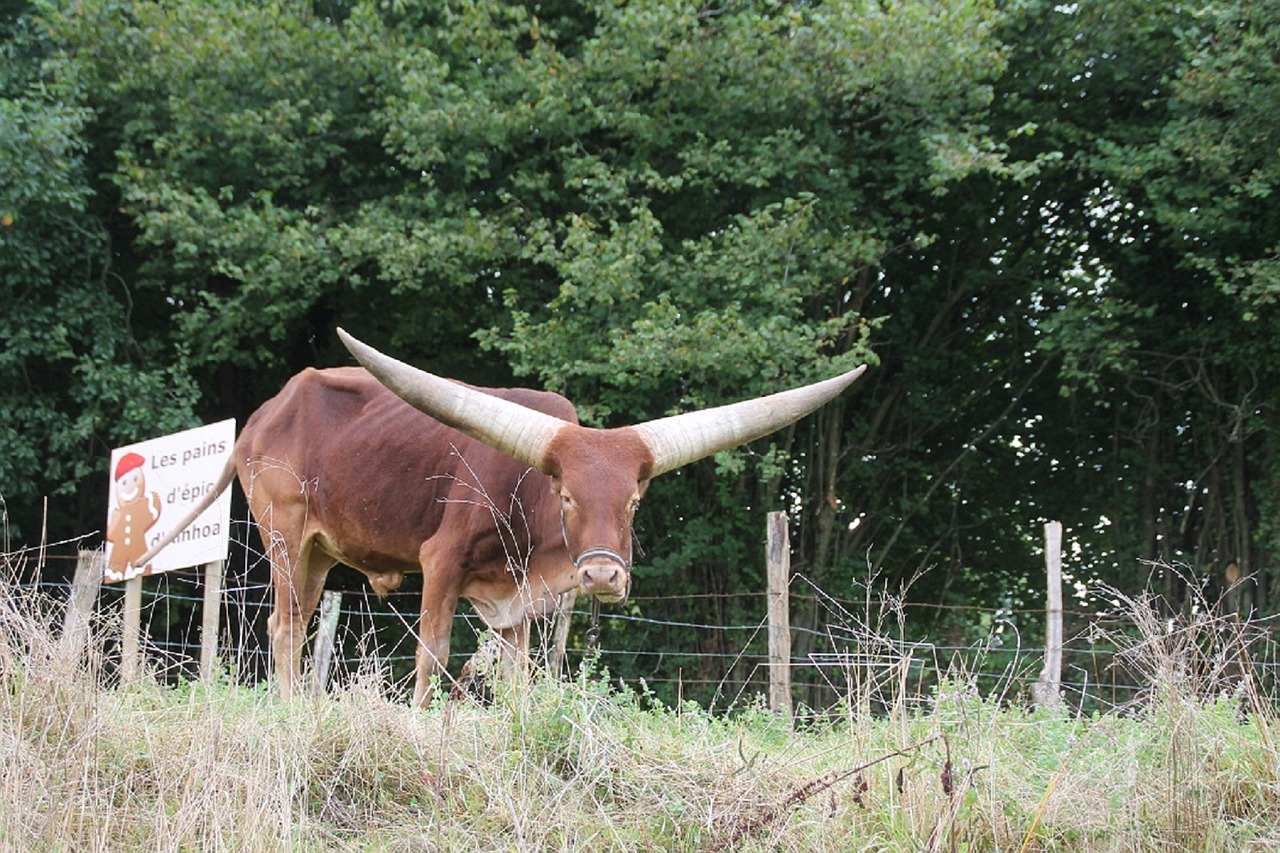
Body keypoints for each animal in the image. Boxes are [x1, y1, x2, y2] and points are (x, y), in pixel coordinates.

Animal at [138, 328, 865, 704]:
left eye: (633, 500)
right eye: (566, 494)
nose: (602, 577)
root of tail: (264, 414)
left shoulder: (519, 600)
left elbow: (519, 675)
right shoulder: (440, 563)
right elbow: (433, 654)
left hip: (319, 551)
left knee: (290, 622)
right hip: (285, 534)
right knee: (285, 625)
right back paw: (292, 711)